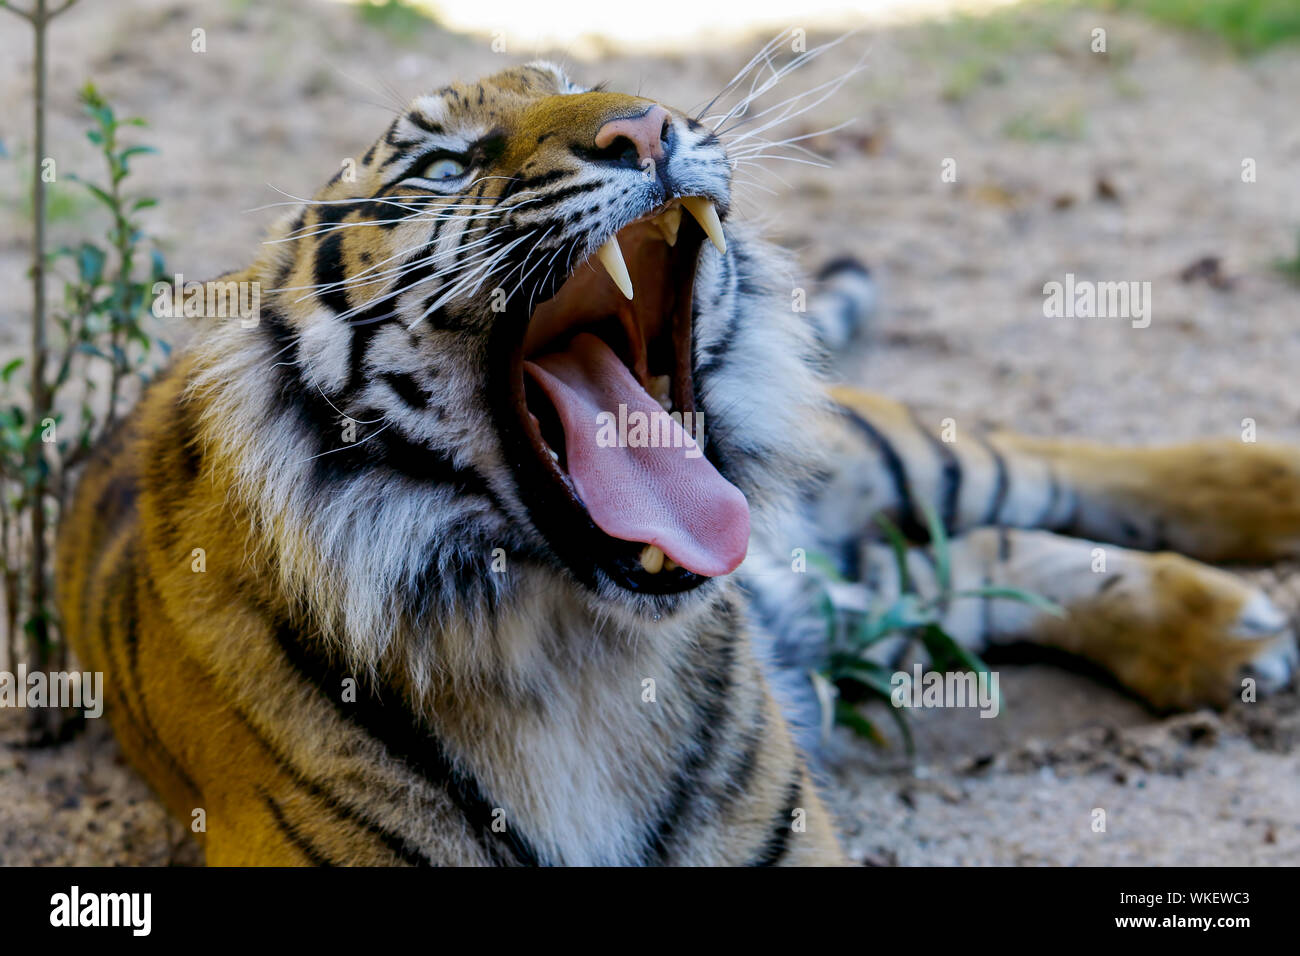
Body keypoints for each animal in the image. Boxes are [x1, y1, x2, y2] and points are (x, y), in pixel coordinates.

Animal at [56, 58, 1299, 867]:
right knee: (967, 560)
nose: (648, 124)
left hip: (880, 457)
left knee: (1022, 464)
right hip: (843, 602)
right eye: (444, 165)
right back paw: (1225, 634)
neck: (568, 650)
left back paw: (1262, 507)